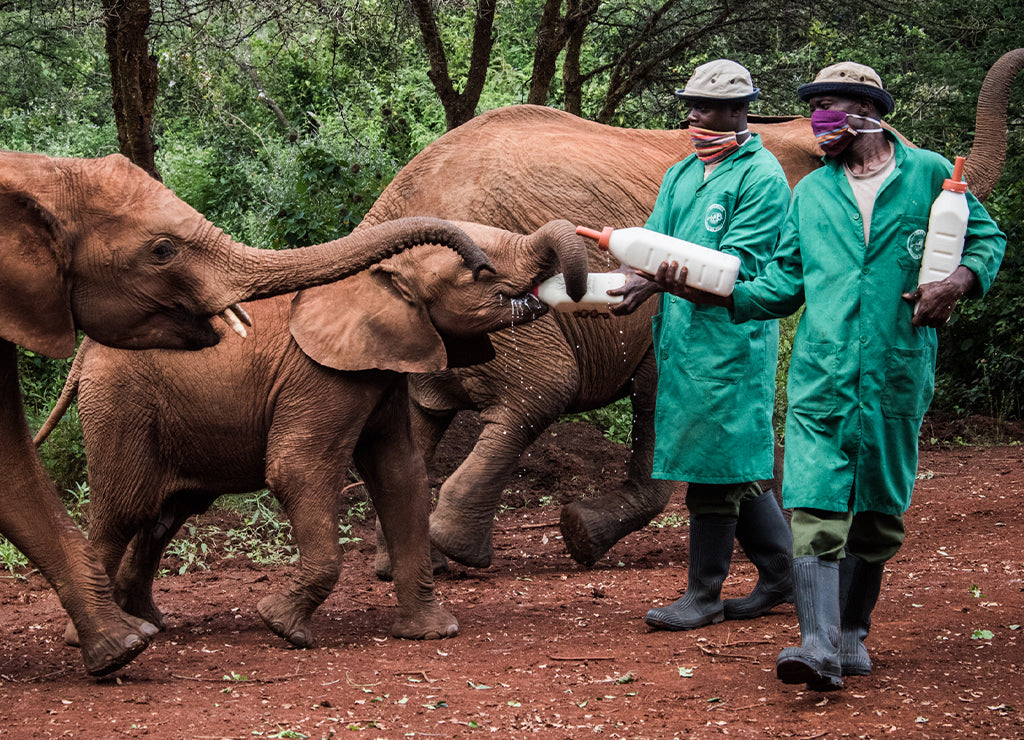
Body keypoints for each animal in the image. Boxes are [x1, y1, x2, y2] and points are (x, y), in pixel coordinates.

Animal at [1, 148, 490, 674]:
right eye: (162, 250)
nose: (481, 264)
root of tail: (84, 355)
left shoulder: (379, 378)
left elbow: (402, 475)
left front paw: (434, 633)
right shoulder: (321, 381)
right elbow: (297, 470)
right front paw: (283, 629)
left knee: (167, 513)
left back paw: (148, 623)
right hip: (121, 404)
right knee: (127, 509)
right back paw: (103, 638)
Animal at [360, 47, 1024, 571]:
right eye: (889, 139)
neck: (775, 130)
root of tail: (389, 205)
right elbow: (660, 390)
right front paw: (584, 538)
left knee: (423, 416)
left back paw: (404, 566)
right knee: (542, 390)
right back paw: (460, 551)